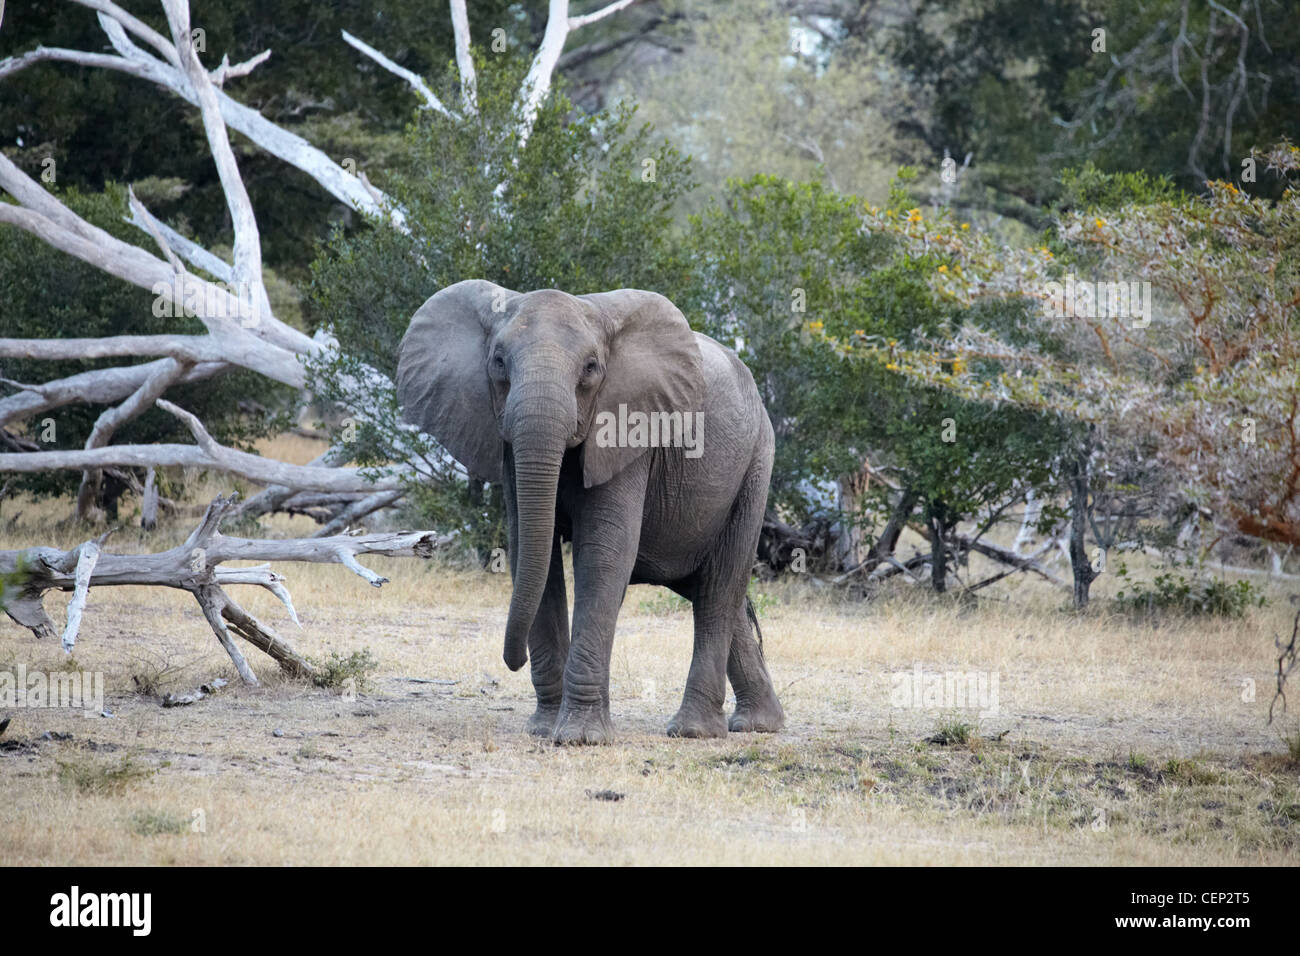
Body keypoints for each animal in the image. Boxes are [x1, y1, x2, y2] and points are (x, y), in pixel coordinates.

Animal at [396, 280, 785, 744]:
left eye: (591, 367)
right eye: (498, 362)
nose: (512, 660)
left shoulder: (630, 428)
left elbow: (603, 554)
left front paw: (580, 737)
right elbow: (532, 550)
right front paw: (544, 729)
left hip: (756, 463)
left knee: (718, 590)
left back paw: (694, 731)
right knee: (707, 587)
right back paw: (758, 724)